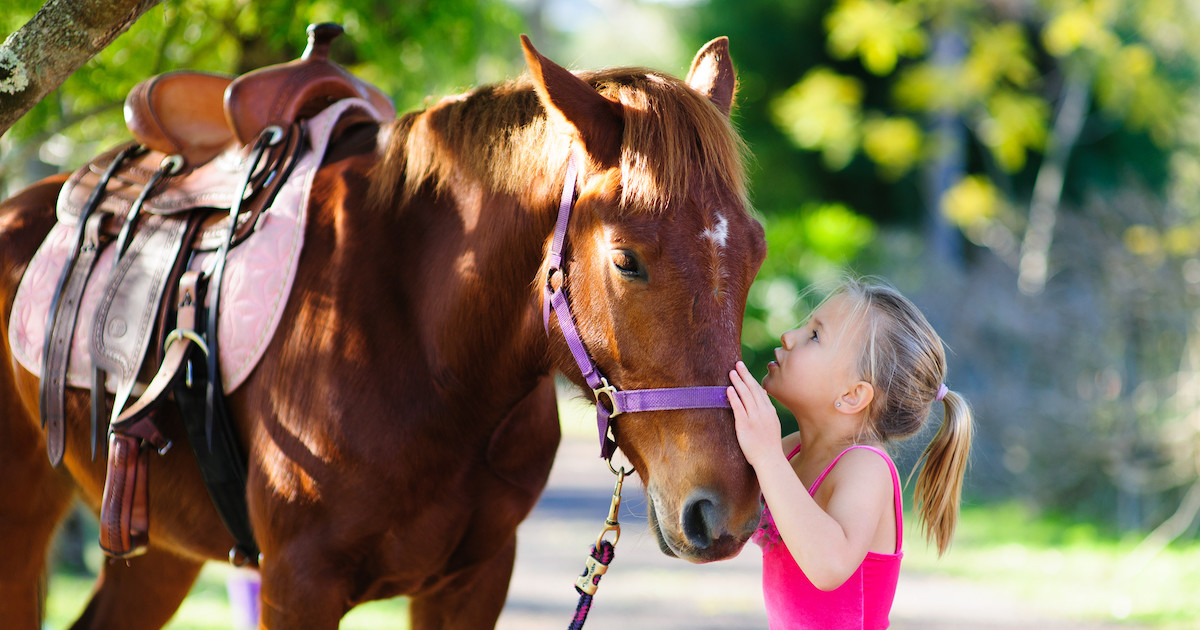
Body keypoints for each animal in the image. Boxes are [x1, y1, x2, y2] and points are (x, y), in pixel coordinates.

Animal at [0, 34, 766, 629]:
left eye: (755, 253)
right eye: (626, 259)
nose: (724, 508)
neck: (427, 352)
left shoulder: (474, 582)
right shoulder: (297, 586)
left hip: (158, 549)